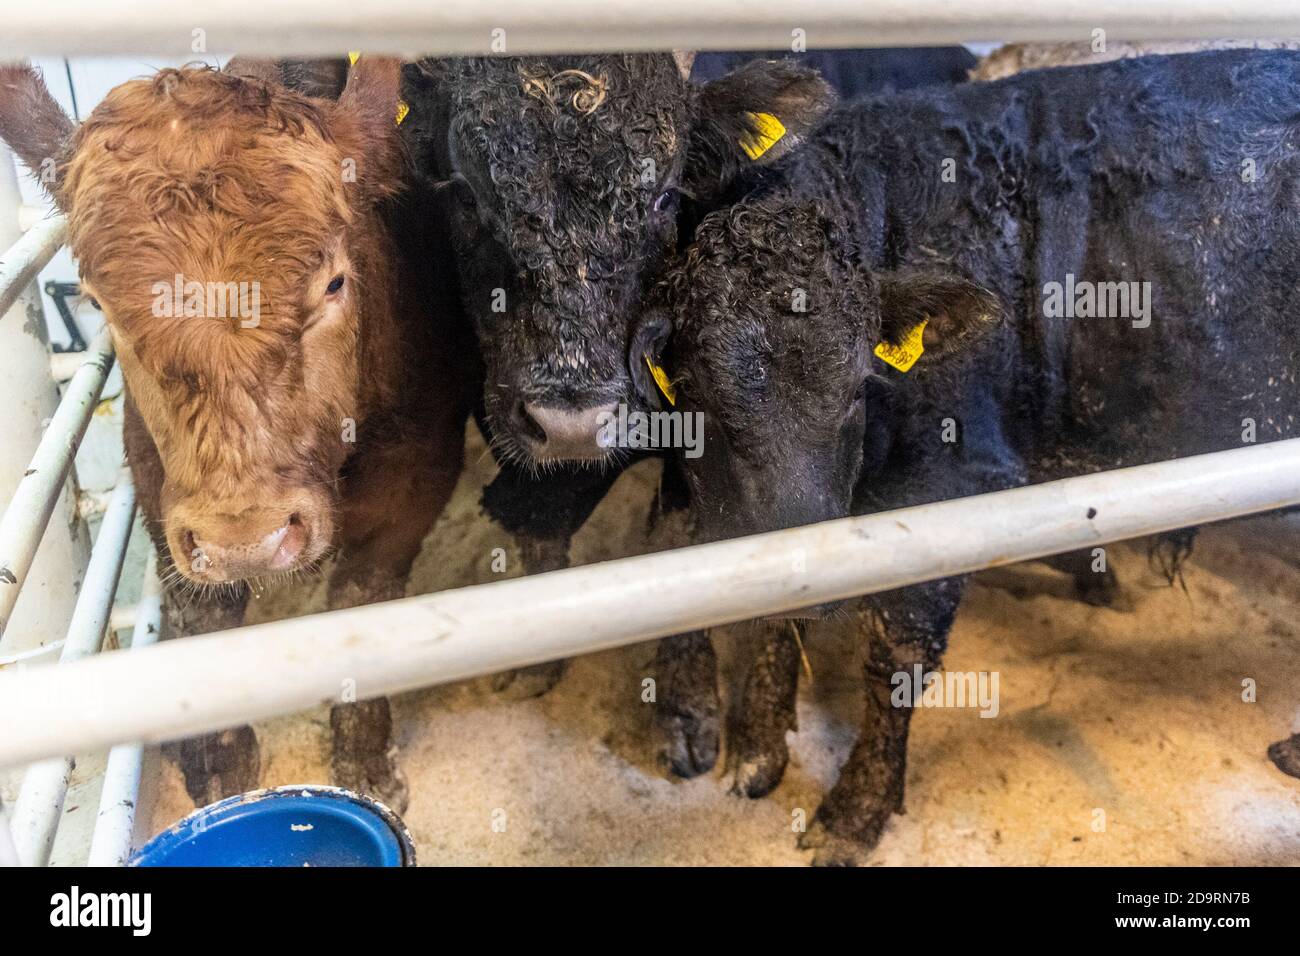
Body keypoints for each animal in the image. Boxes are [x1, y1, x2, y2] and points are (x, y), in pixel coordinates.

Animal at [0, 57, 472, 811]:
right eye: (102, 304)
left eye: (336, 282)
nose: (246, 538)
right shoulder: (163, 496)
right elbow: (209, 621)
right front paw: (219, 765)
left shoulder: (418, 475)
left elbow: (363, 604)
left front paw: (367, 760)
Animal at [645, 49, 1300, 864]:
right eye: (692, 388)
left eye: (859, 388)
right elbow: (773, 615)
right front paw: (759, 747)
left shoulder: (957, 483)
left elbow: (896, 654)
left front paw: (855, 810)